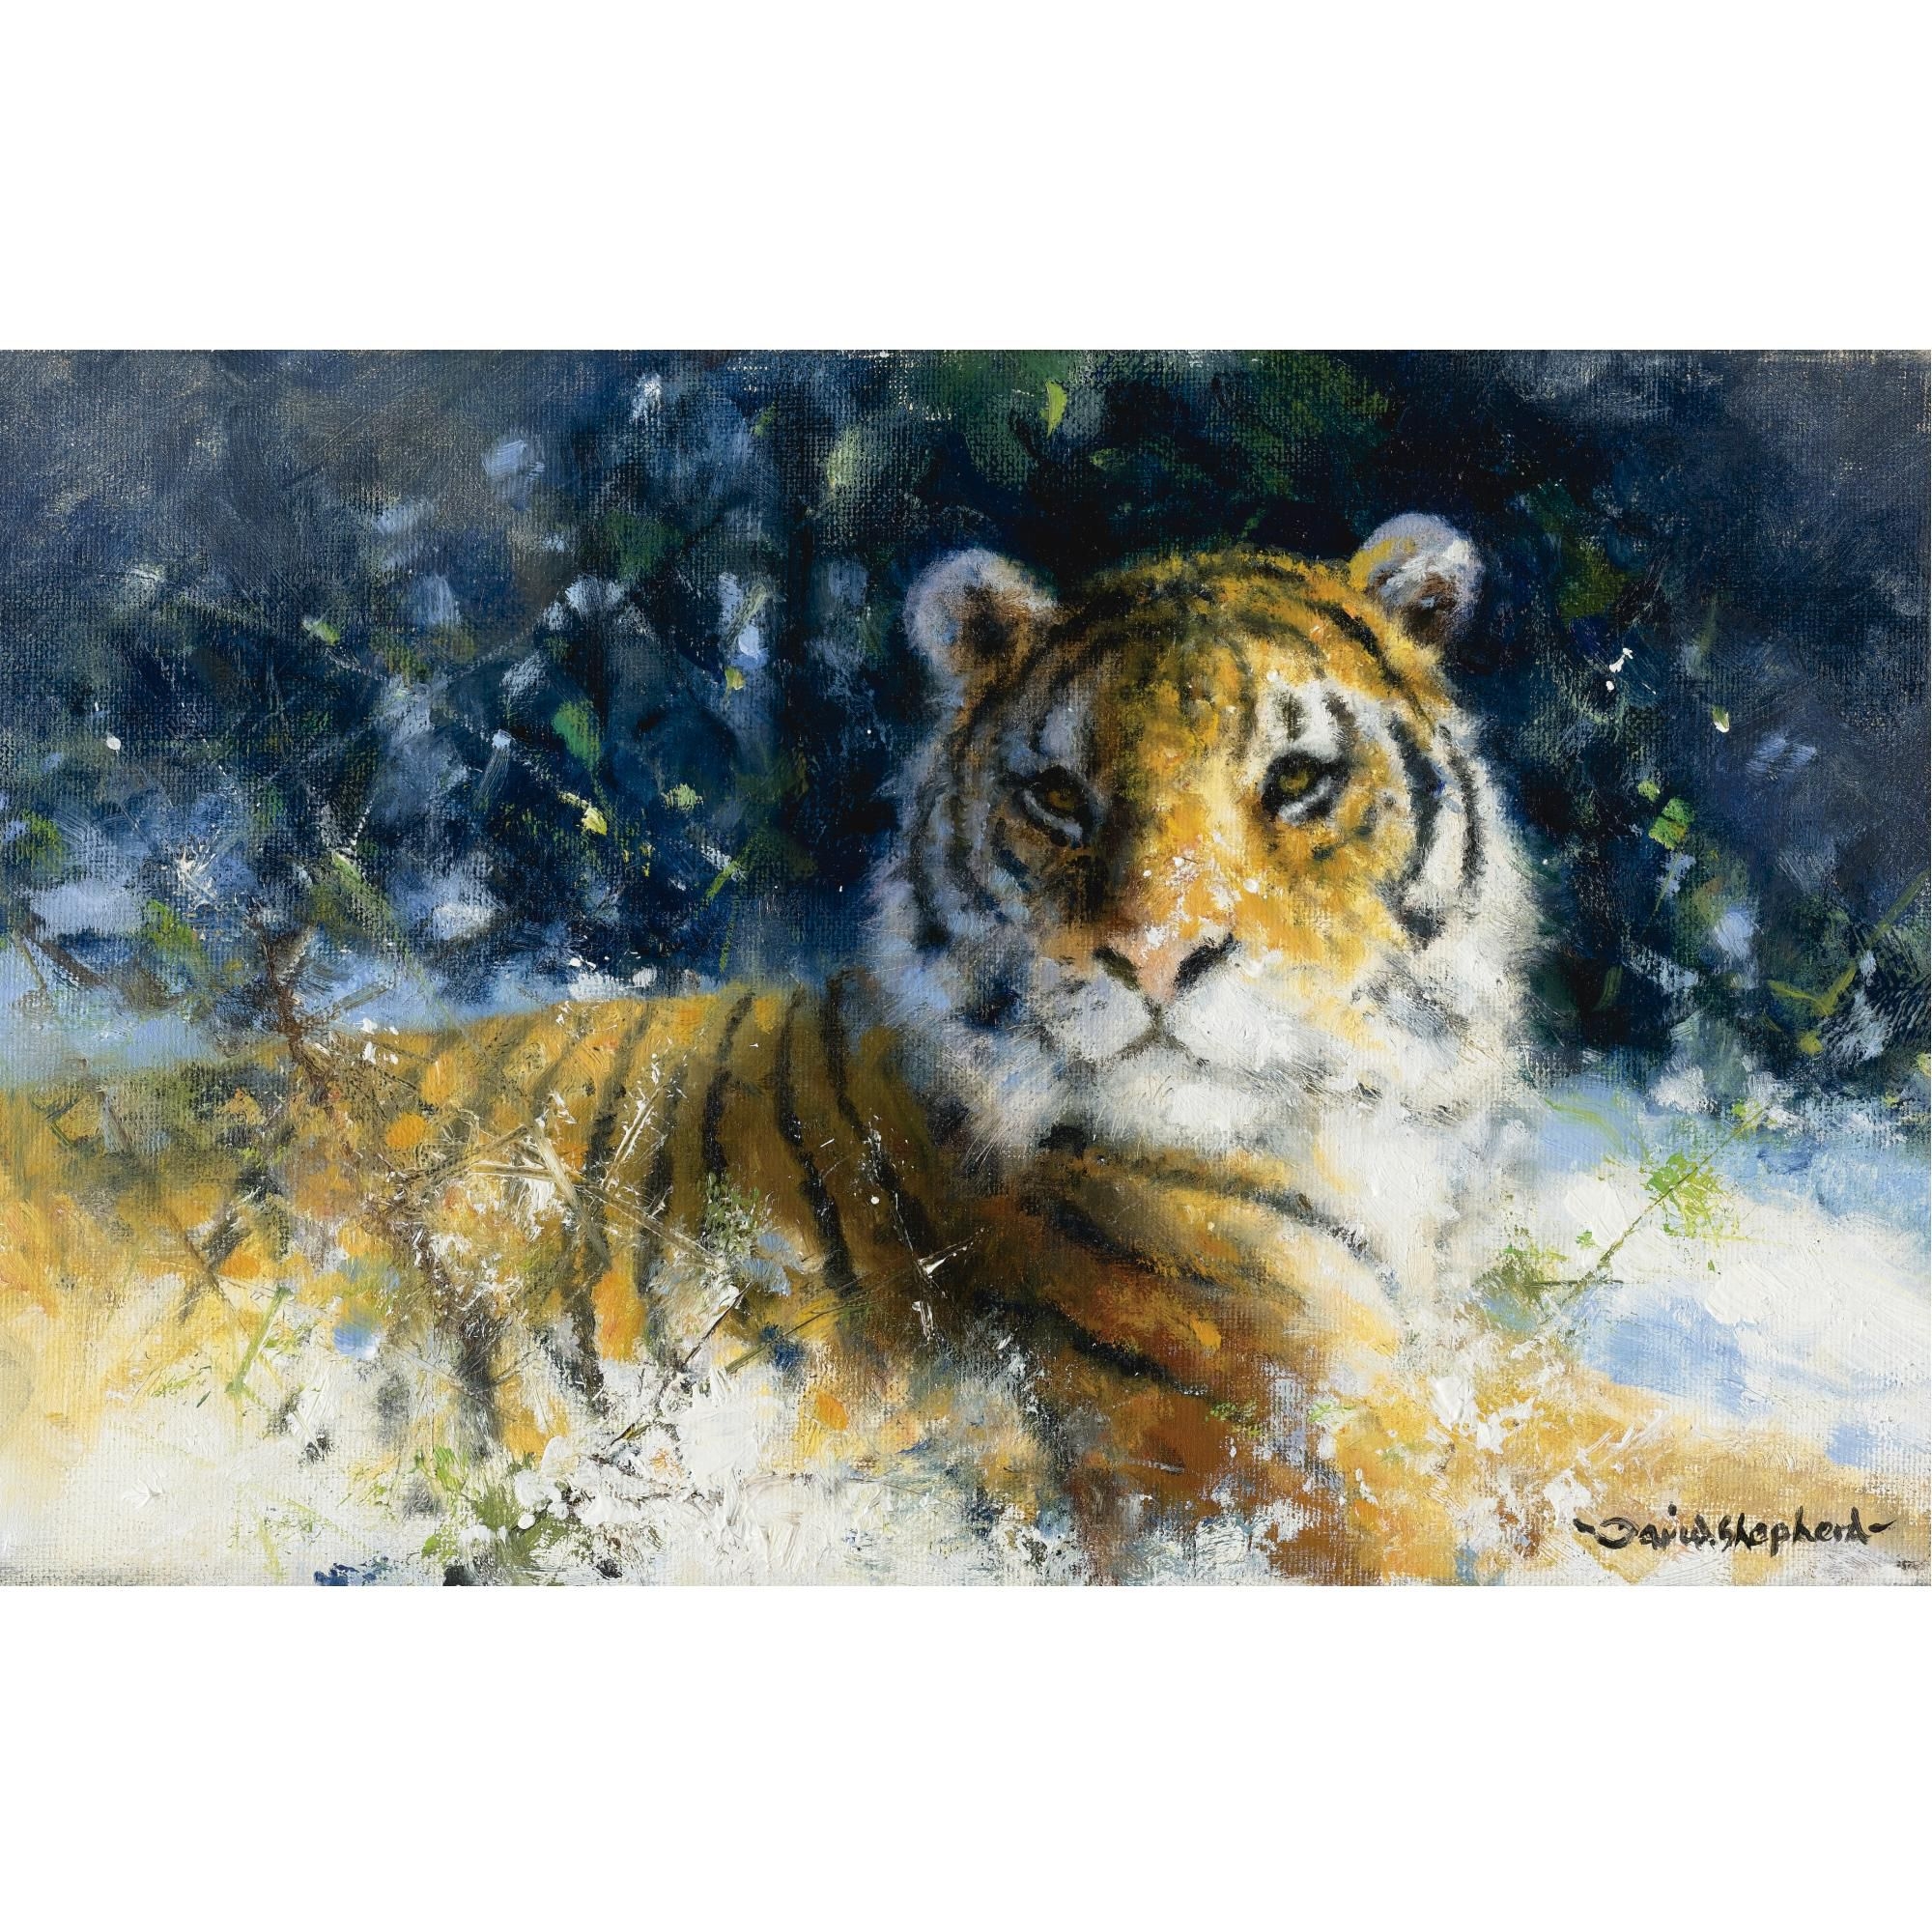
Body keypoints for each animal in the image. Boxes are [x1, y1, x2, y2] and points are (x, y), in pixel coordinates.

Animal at [1, 517, 1923, 1583]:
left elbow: (1725, 1461)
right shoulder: (1312, 1454)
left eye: (1298, 780)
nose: (1153, 955)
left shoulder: (1429, 1365)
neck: (1345, 1134)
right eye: (1060, 795)